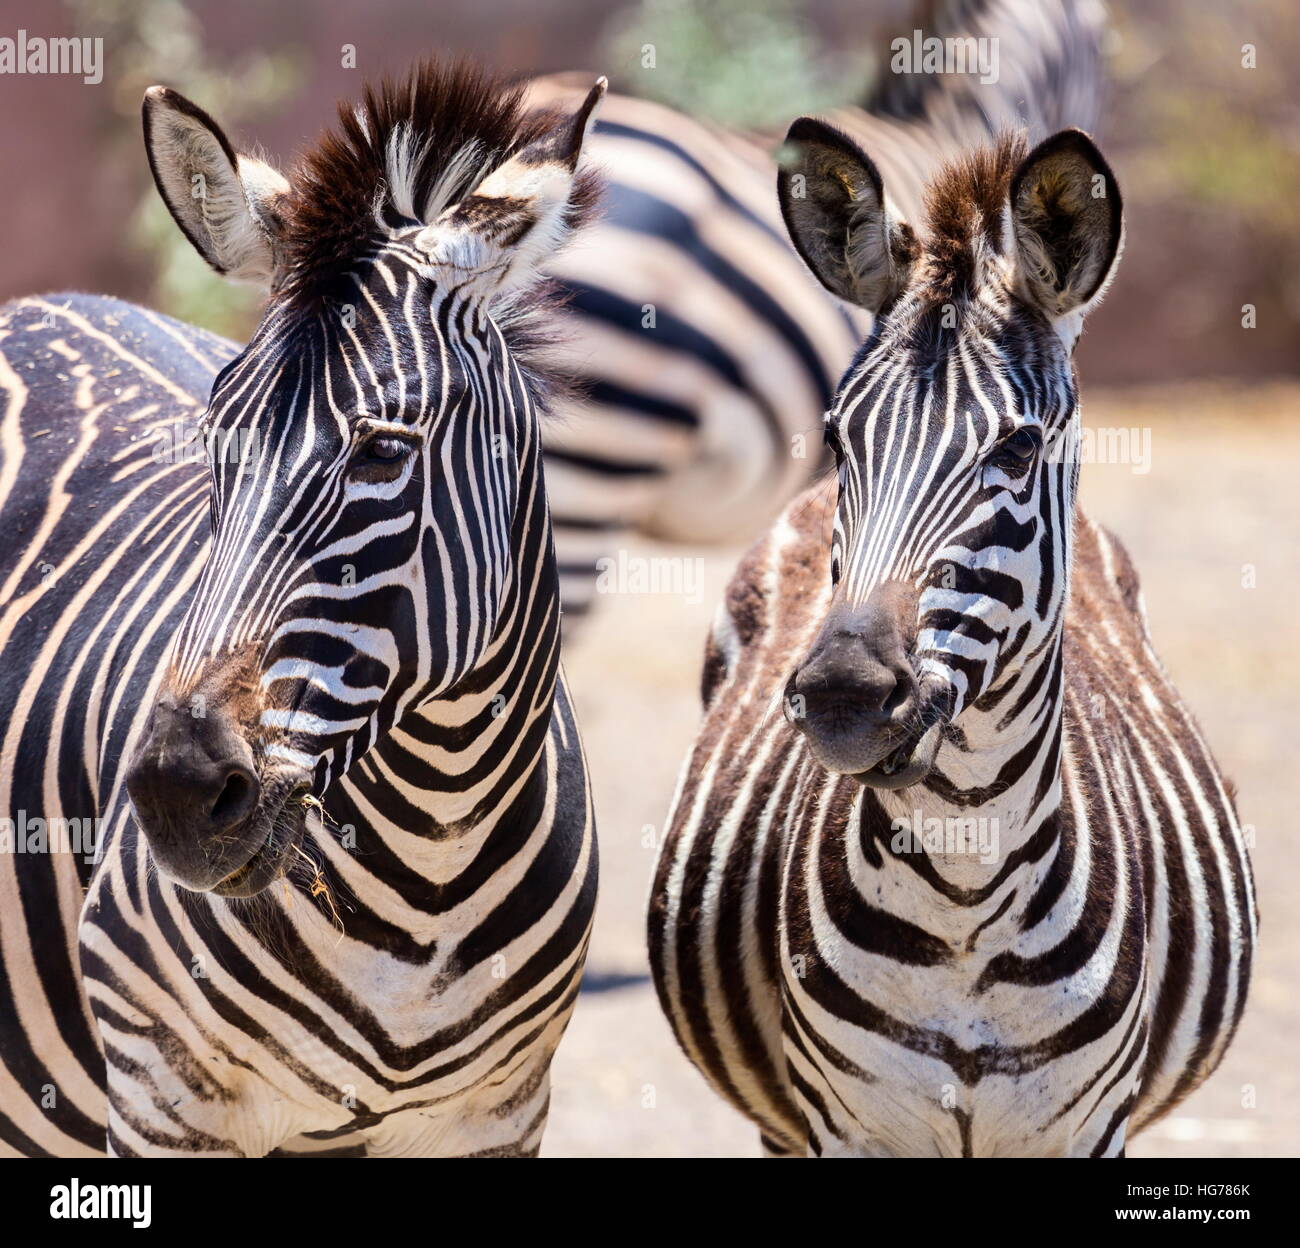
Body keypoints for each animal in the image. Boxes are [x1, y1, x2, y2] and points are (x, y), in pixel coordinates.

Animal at [0, 60, 605, 1158]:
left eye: (384, 452)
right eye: (214, 439)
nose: (178, 794)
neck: (430, 871)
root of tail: (36, 305)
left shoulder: (499, 1115)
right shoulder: (163, 1093)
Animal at [647, 122, 1257, 1157]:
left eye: (1017, 449)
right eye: (838, 439)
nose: (845, 697)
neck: (965, 885)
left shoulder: (1090, 1130)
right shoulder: (844, 1126)